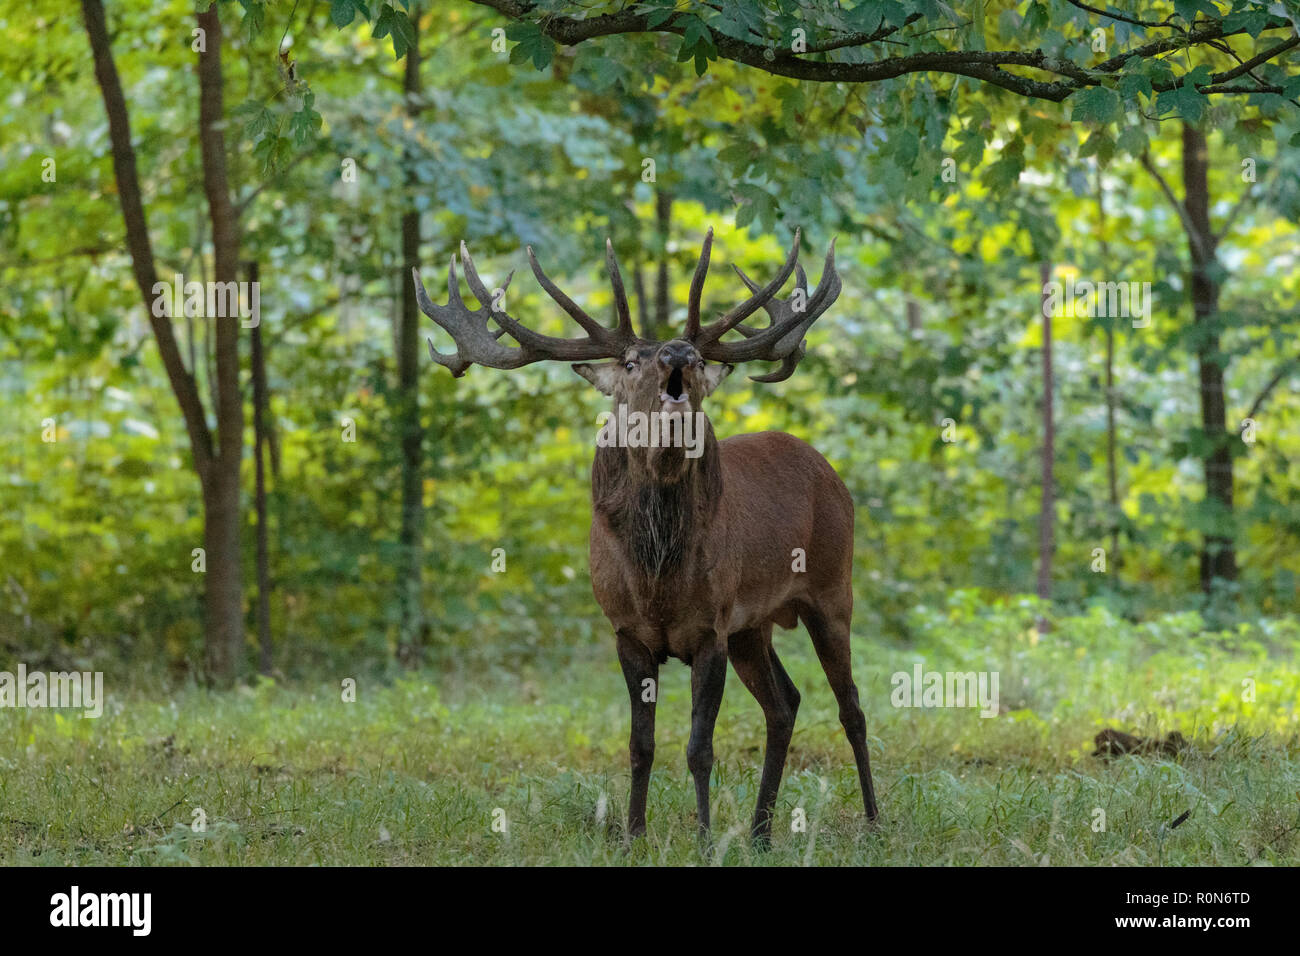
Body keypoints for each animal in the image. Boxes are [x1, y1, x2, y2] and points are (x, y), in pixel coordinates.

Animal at [414, 228, 878, 846]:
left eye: (699, 358)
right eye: (632, 362)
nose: (679, 354)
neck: (656, 576)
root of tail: (830, 471)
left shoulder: (711, 628)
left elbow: (700, 748)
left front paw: (704, 839)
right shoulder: (628, 629)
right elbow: (641, 745)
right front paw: (633, 833)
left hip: (831, 589)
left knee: (851, 707)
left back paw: (873, 819)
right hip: (754, 625)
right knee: (785, 705)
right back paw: (760, 832)